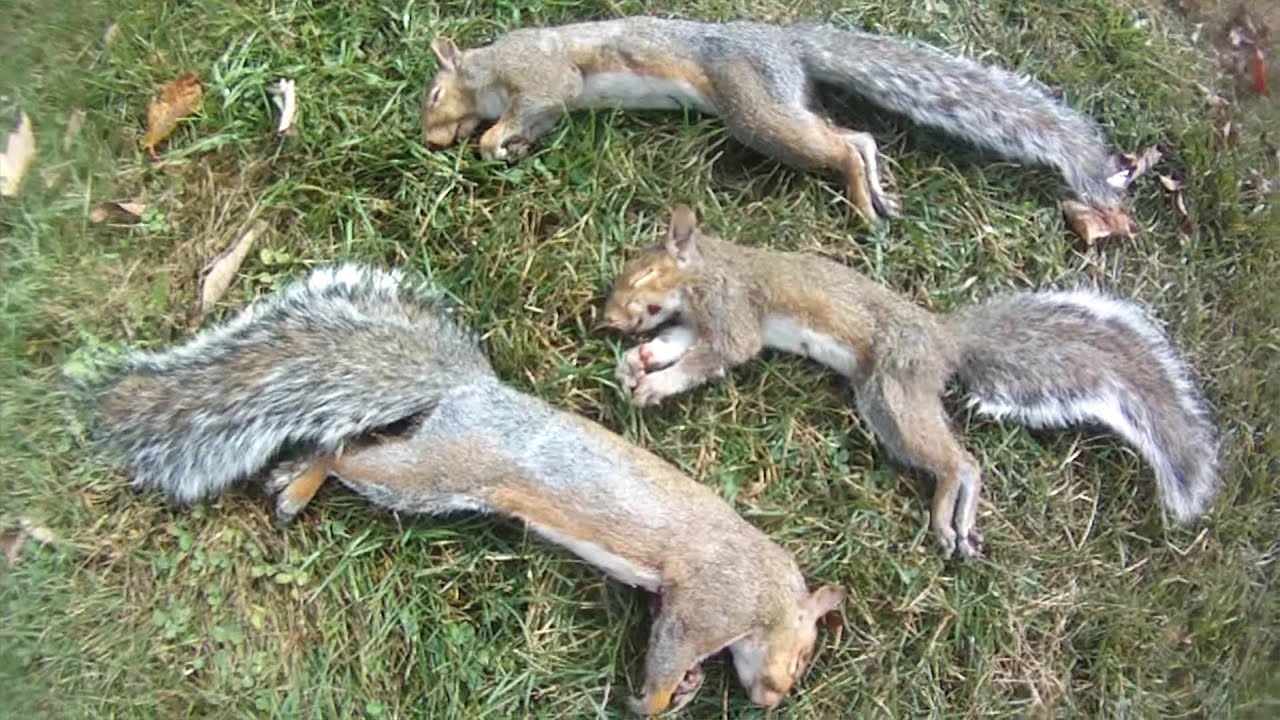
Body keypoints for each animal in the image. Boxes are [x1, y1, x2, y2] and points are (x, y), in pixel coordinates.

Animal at [84, 264, 847, 716]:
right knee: (347, 453)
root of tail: (471, 393)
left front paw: (686, 687)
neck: (767, 593)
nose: (775, 697)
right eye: (805, 650)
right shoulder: (710, 601)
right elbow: (668, 651)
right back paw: (305, 483)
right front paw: (662, 698)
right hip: (433, 473)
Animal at [422, 16, 1128, 225]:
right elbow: (532, 128)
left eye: (432, 94)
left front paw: (490, 140)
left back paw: (860, 198)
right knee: (855, 136)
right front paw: (507, 148)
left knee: (841, 146)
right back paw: (876, 191)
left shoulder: (545, 80)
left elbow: (535, 105)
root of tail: (788, 45)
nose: (429, 139)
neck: (490, 65)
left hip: (757, 109)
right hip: (781, 104)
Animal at [600, 206, 1219, 559]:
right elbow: (676, 346)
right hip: (884, 406)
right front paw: (637, 362)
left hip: (897, 393)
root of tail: (944, 344)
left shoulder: (733, 314)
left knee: (960, 461)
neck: (707, 272)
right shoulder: (696, 323)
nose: (608, 317)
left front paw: (655, 384)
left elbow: (721, 353)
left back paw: (949, 516)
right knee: (955, 461)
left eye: (643, 272)